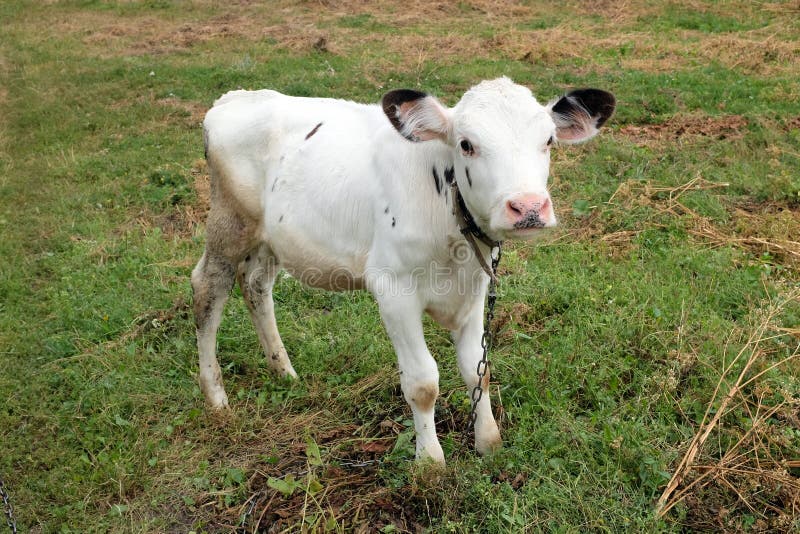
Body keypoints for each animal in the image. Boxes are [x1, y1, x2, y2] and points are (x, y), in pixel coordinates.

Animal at [192, 77, 615, 463]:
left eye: (549, 141)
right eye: (466, 144)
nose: (528, 207)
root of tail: (236, 97)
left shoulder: (475, 286)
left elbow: (477, 369)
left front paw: (488, 441)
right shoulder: (393, 290)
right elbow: (423, 383)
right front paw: (430, 464)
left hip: (270, 238)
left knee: (257, 286)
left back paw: (284, 371)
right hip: (230, 225)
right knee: (208, 289)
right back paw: (216, 398)